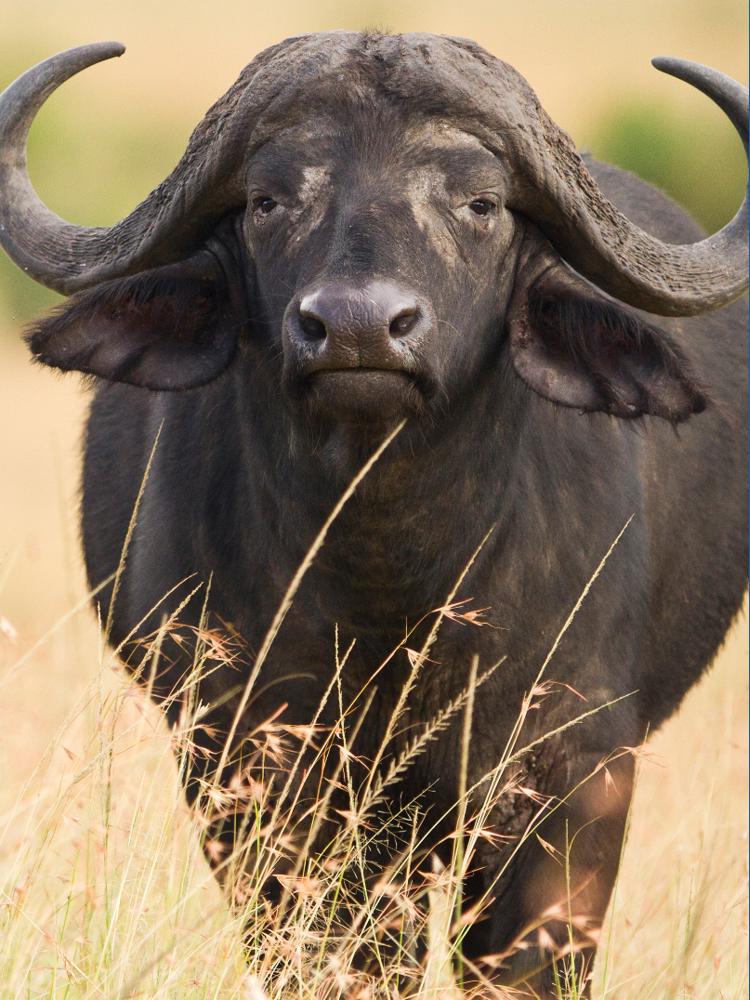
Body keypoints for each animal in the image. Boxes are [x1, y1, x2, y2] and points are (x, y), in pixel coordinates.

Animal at [0, 32, 746, 997]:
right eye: (270, 200)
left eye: (480, 203)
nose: (358, 328)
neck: (389, 585)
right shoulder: (247, 769)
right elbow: (334, 959)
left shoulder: (571, 774)